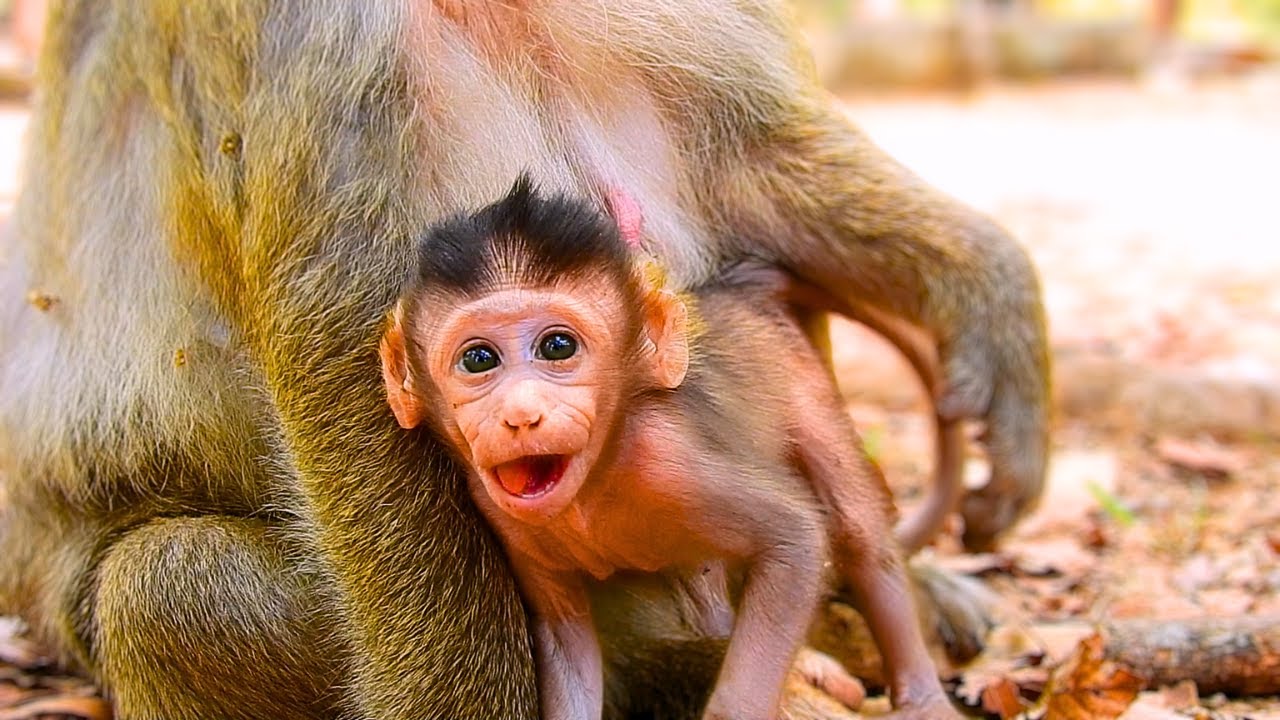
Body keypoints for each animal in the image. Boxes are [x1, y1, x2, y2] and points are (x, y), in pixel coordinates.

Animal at [379, 177, 961, 720]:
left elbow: (794, 540)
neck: (590, 485)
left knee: (857, 529)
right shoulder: (505, 518)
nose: (521, 414)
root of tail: (733, 291)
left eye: (558, 347)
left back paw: (921, 693)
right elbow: (569, 639)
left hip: (803, 381)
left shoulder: (668, 461)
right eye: (479, 359)